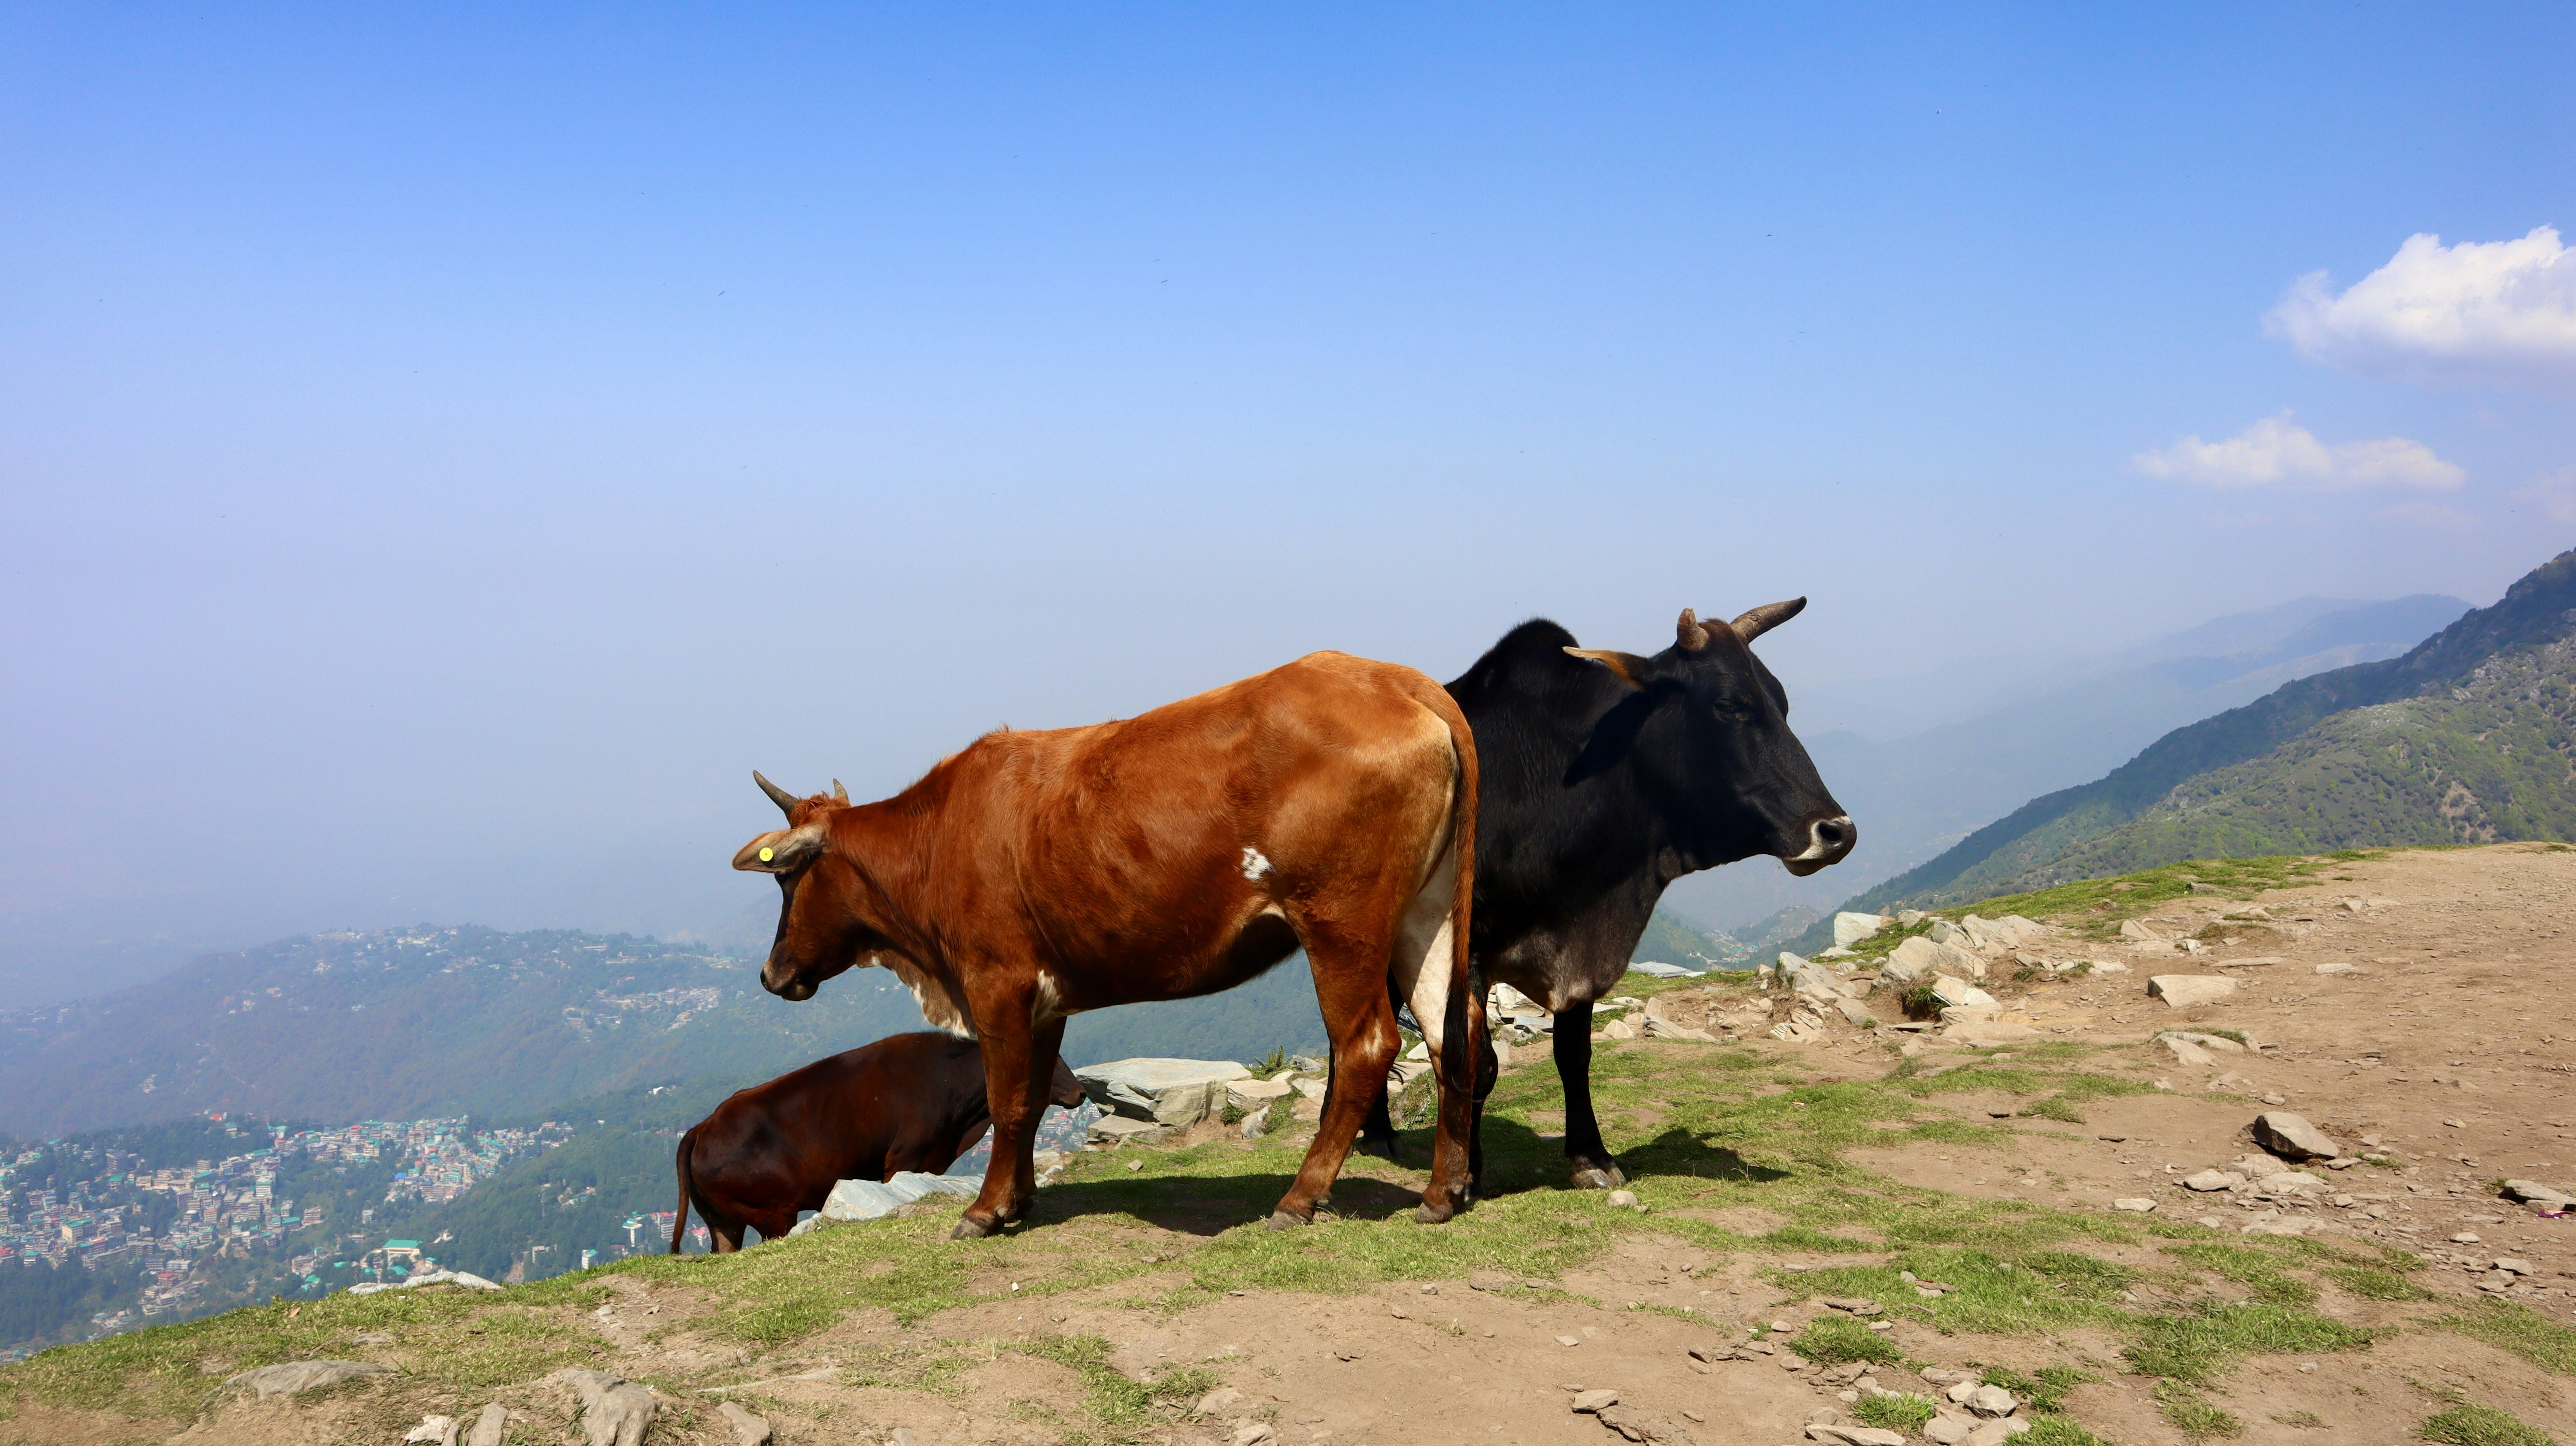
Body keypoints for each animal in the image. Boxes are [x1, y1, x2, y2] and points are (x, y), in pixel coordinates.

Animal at [670, 1033, 1087, 1252]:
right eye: (1048, 1064)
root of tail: (703, 1127)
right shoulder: (903, 1160)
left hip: (723, 1220)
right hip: (774, 1213)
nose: (1081, 1092)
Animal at [732, 651, 1483, 1238]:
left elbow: (1006, 1100)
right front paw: (1017, 1201)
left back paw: (1299, 1198)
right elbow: (1034, 1097)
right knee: (1454, 1028)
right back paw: (1444, 1193)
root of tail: (1394, 677)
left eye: (787, 877)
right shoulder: (1045, 998)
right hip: (1426, 913)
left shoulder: (995, 981)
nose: (772, 974)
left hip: (1340, 921)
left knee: (1366, 1045)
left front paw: (982, 1211)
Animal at [1361, 603, 1854, 1190]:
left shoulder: (1584, 949)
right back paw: (1373, 1134)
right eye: (1729, 705)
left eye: (1782, 702)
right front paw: (1465, 1173)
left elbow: (1574, 1053)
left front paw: (1591, 1157)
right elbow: (1477, 1061)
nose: (1837, 831)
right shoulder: (1469, 948)